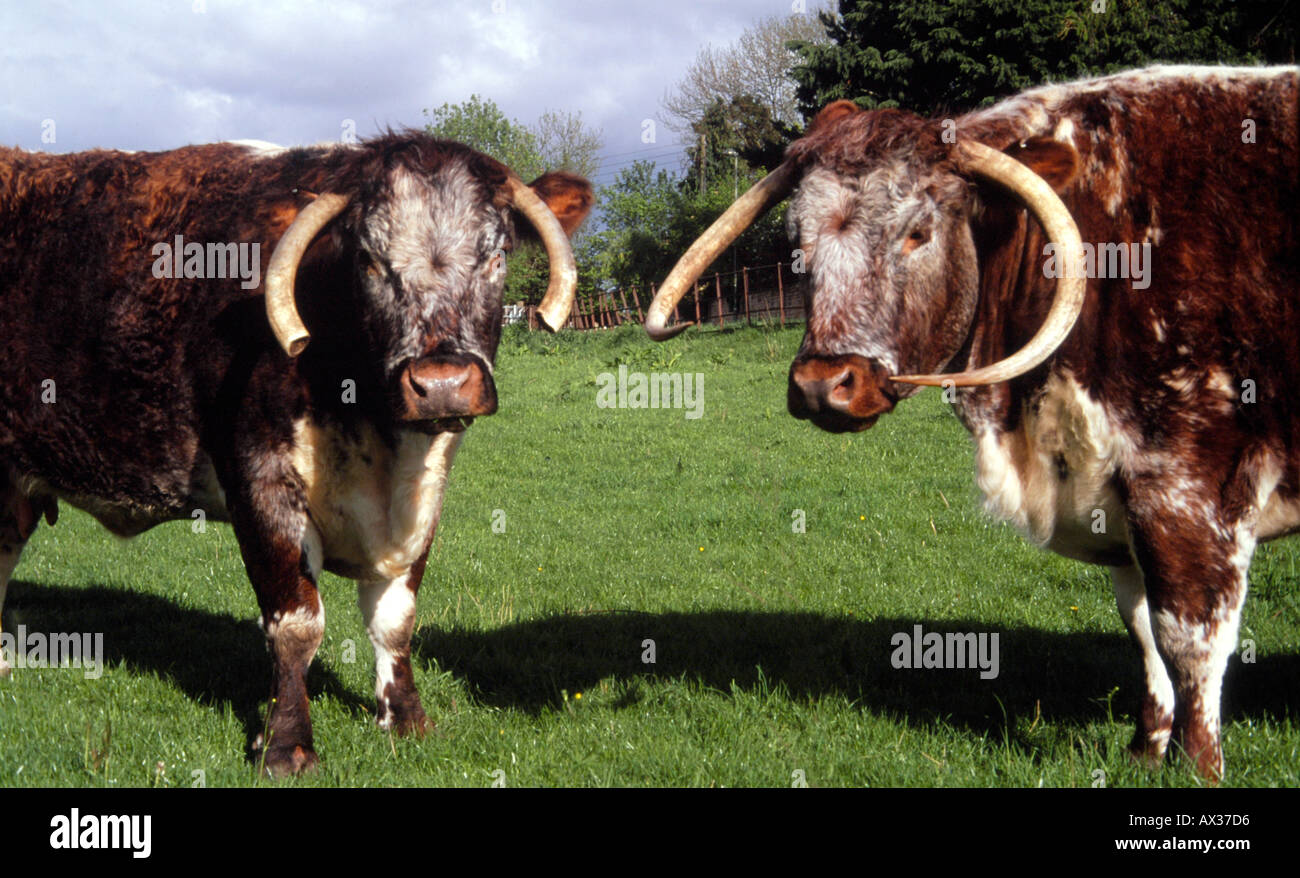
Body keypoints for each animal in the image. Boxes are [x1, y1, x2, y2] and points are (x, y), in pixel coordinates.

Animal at [0, 132, 592, 775]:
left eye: (497, 254)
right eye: (368, 261)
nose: (441, 383)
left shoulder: (426, 491)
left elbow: (395, 619)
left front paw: (406, 718)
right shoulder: (259, 481)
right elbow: (296, 624)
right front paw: (287, 744)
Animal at [646, 65, 1299, 781]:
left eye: (918, 232)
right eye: (796, 243)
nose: (823, 386)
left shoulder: (1187, 488)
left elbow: (1188, 638)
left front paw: (1195, 766)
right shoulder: (1114, 501)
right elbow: (1142, 626)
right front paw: (1146, 748)